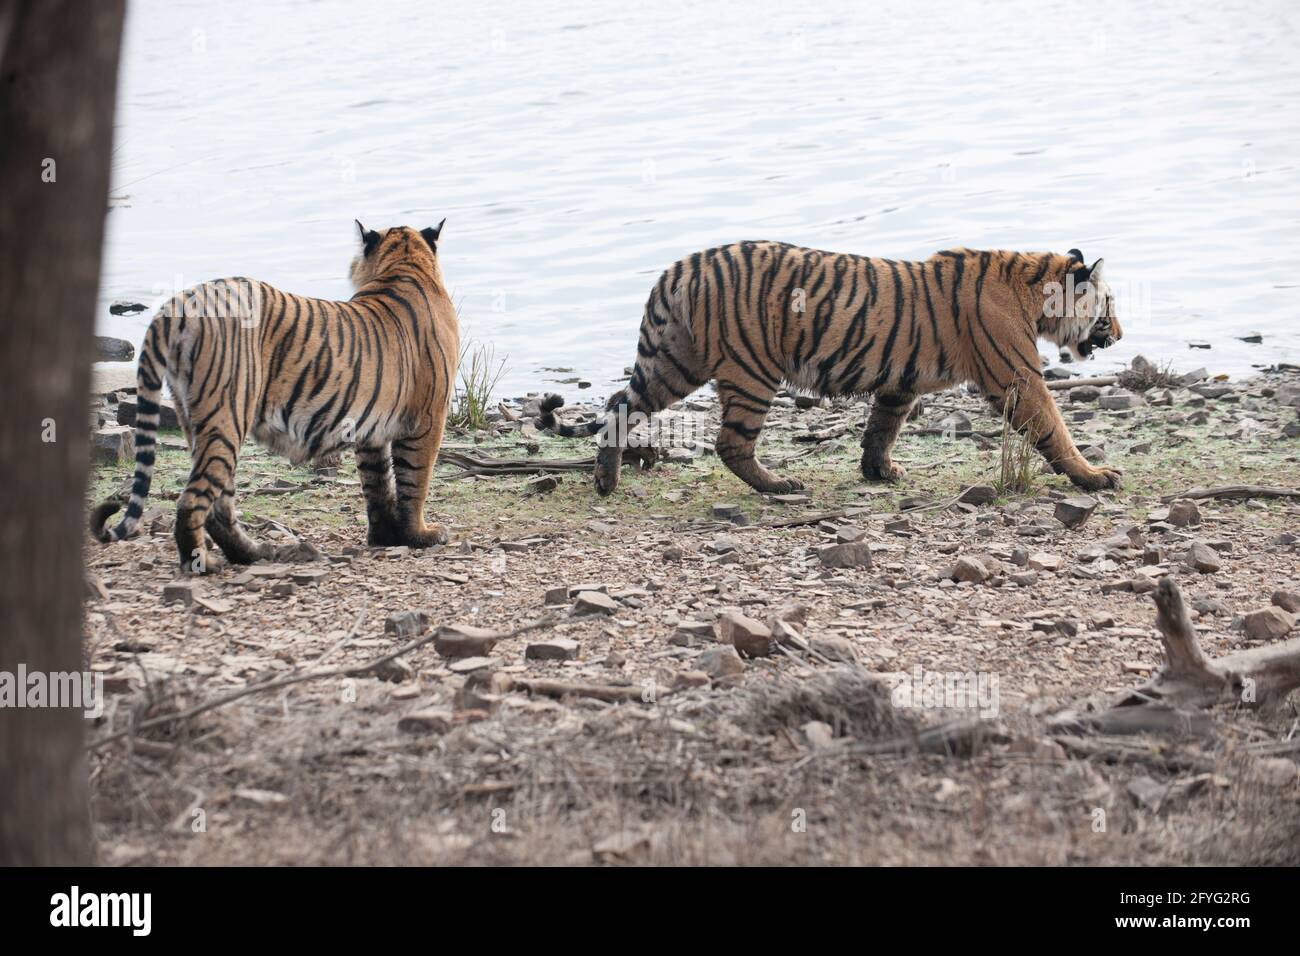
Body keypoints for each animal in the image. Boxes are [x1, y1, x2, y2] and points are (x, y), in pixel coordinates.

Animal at [90, 221, 459, 573]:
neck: (404, 264)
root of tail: (179, 305)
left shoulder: (373, 430)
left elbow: (378, 482)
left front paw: (386, 536)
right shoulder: (429, 418)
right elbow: (415, 480)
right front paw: (421, 535)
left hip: (196, 421)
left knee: (219, 505)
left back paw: (252, 553)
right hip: (227, 417)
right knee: (192, 501)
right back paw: (203, 563)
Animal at [537, 243, 1121, 497]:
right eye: (1110, 305)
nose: (1118, 334)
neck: (1033, 288)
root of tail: (678, 269)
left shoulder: (900, 381)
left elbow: (882, 428)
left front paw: (879, 471)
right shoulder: (1016, 375)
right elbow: (1054, 427)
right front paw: (1095, 476)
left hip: (674, 360)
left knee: (619, 403)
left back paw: (606, 480)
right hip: (750, 370)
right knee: (731, 442)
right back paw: (778, 486)